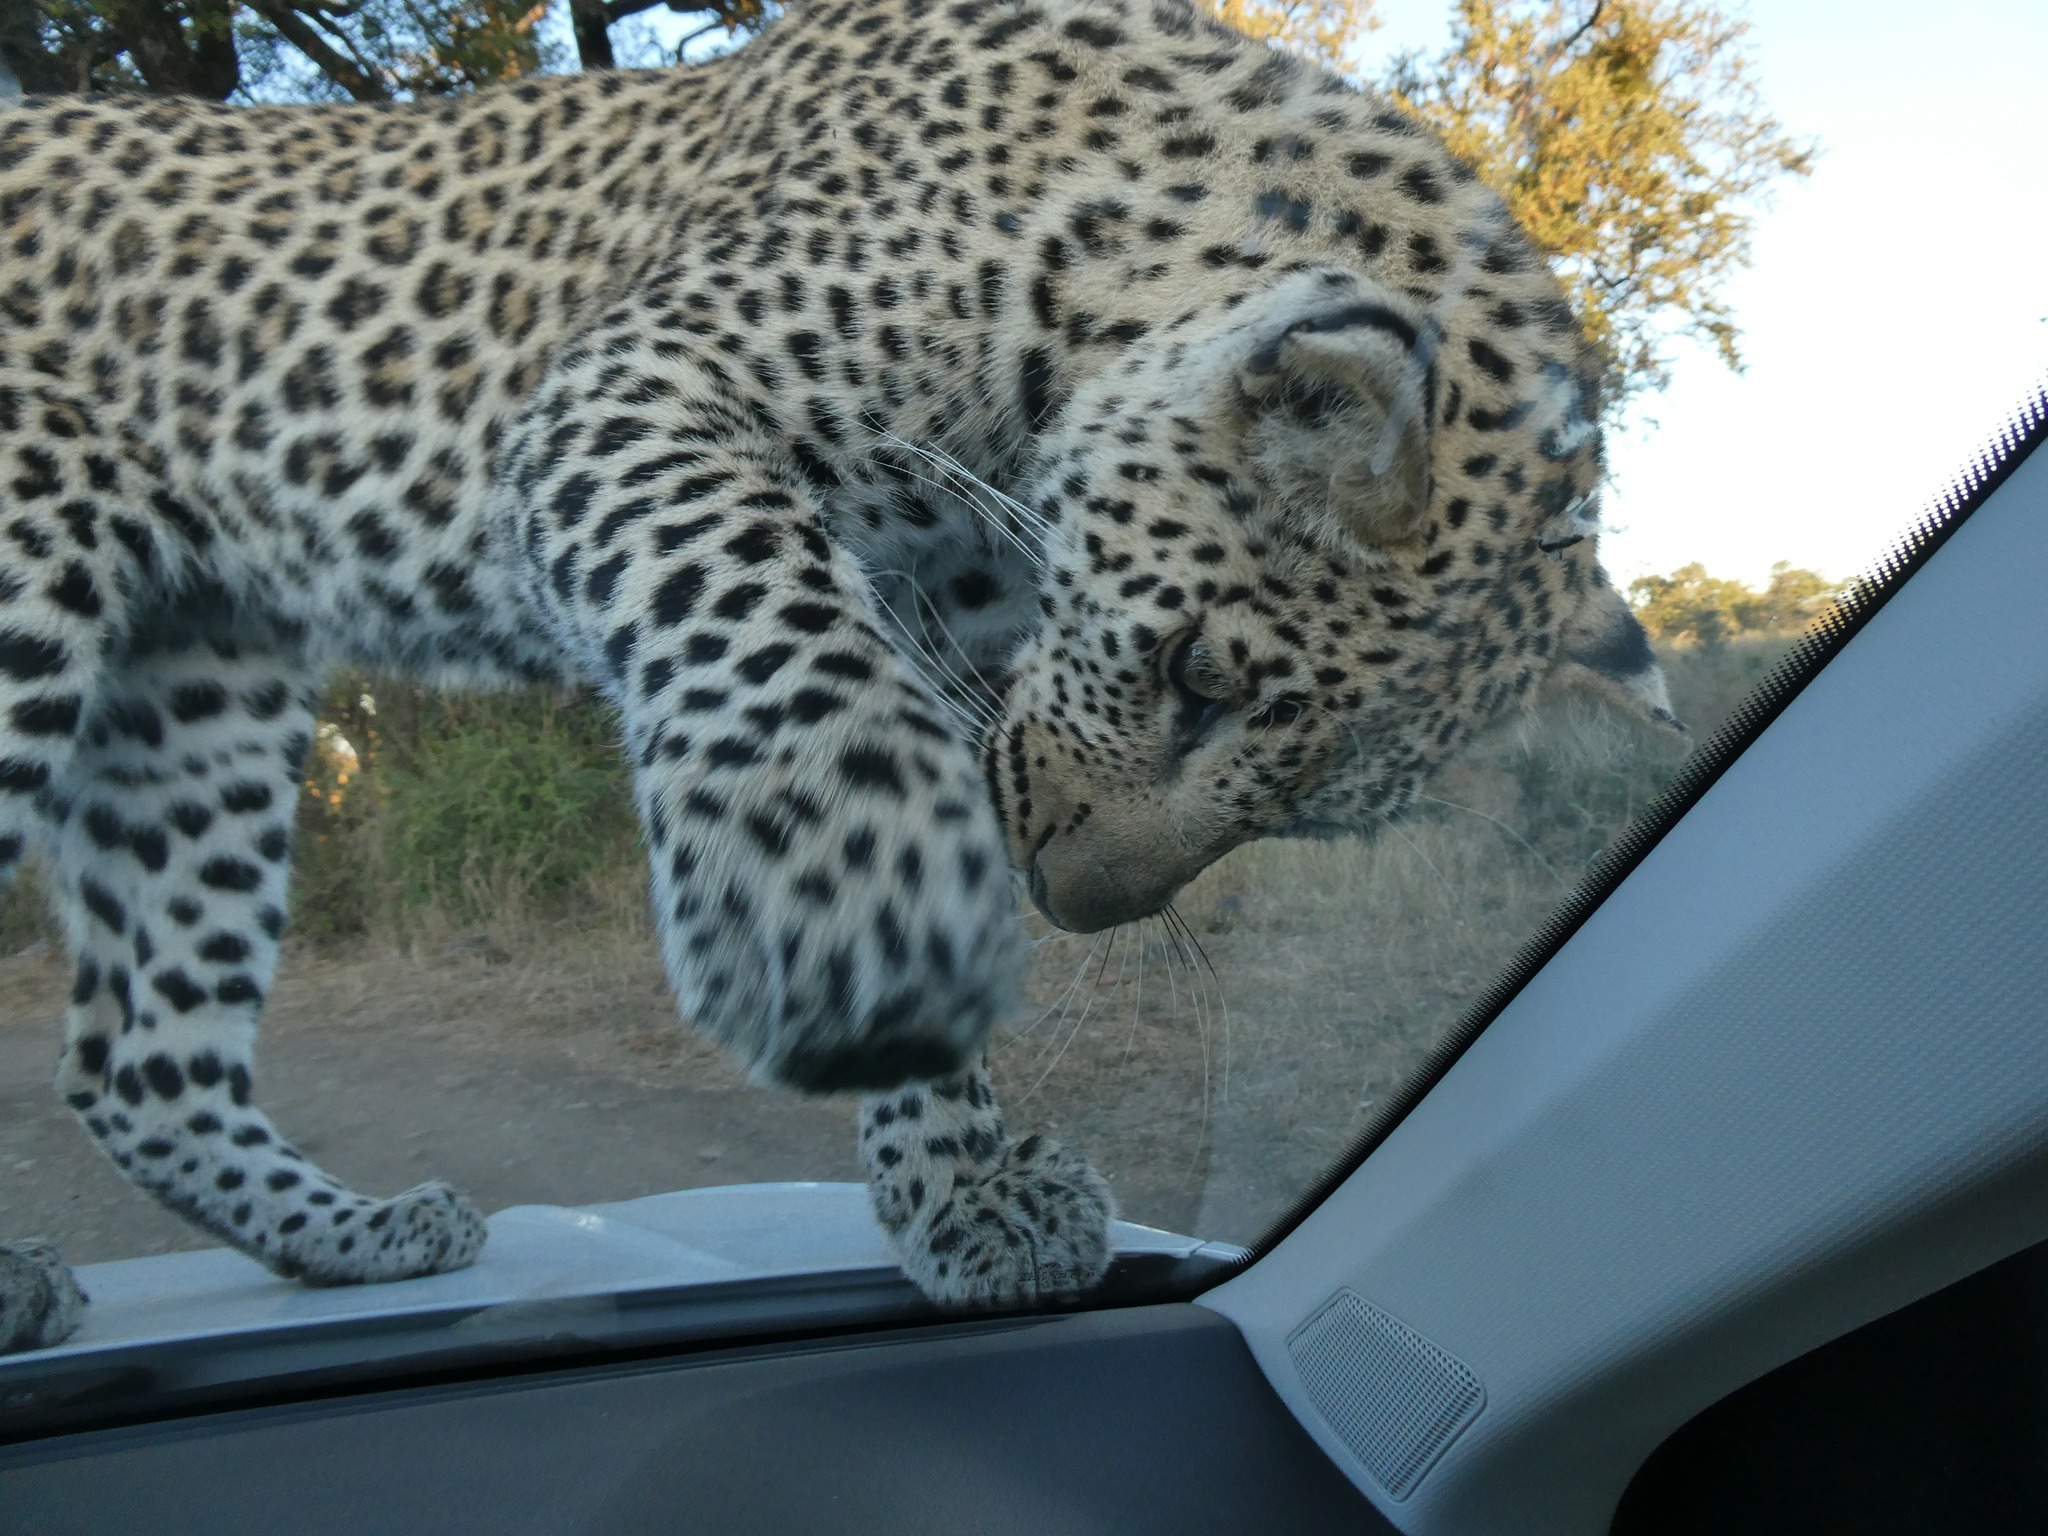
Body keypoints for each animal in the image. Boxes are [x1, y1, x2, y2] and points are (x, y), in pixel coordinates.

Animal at [0, 0, 1677, 1355]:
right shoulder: (631, 400)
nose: (1076, 904)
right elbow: (777, 643)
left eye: (1309, 816)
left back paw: (361, 1240)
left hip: (197, 692)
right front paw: (846, 921)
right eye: (1195, 675)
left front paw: (962, 1186)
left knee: (141, 1059)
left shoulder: (958, 635)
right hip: (28, 591)